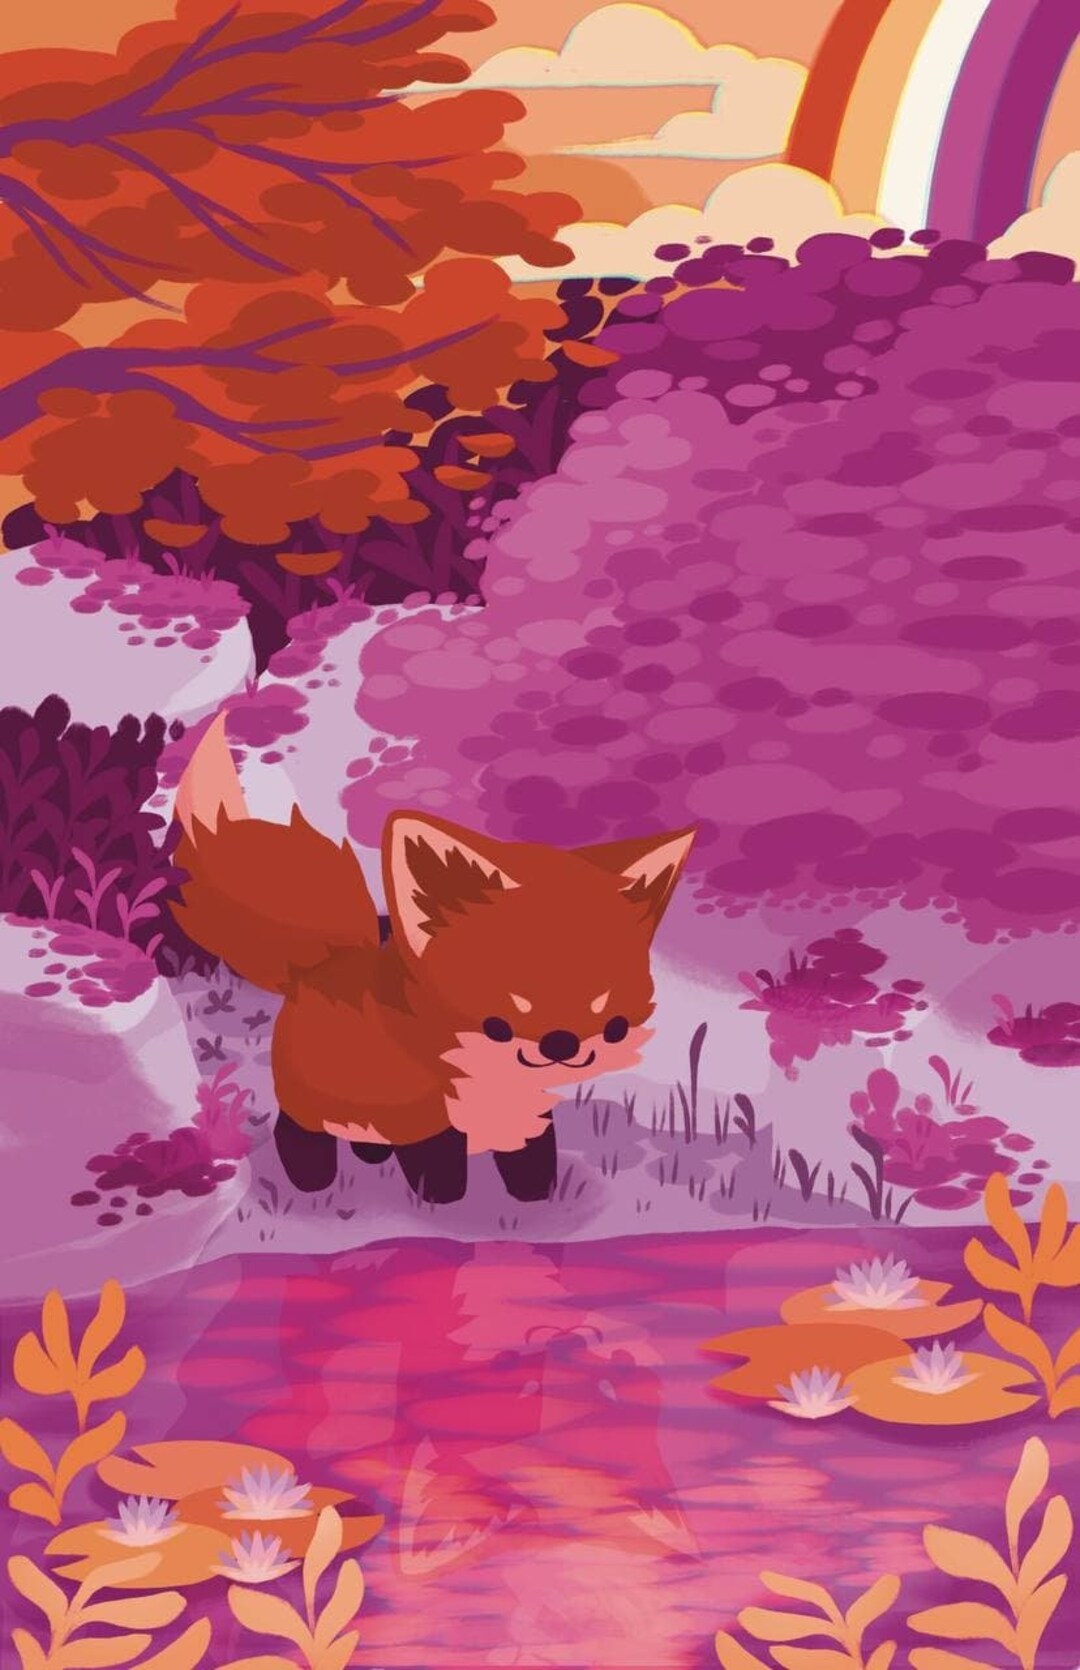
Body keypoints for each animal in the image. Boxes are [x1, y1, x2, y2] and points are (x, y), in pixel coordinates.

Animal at [169, 713, 695, 1206]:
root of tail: (321, 961)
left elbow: (531, 1161)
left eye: (609, 1012)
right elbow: (438, 1166)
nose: (561, 1042)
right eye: (504, 1006)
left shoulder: (526, 1121)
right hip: (311, 1103)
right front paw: (443, 1204)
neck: (494, 1083)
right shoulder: (423, 1121)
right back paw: (312, 1183)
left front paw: (536, 1200)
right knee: (296, 1134)